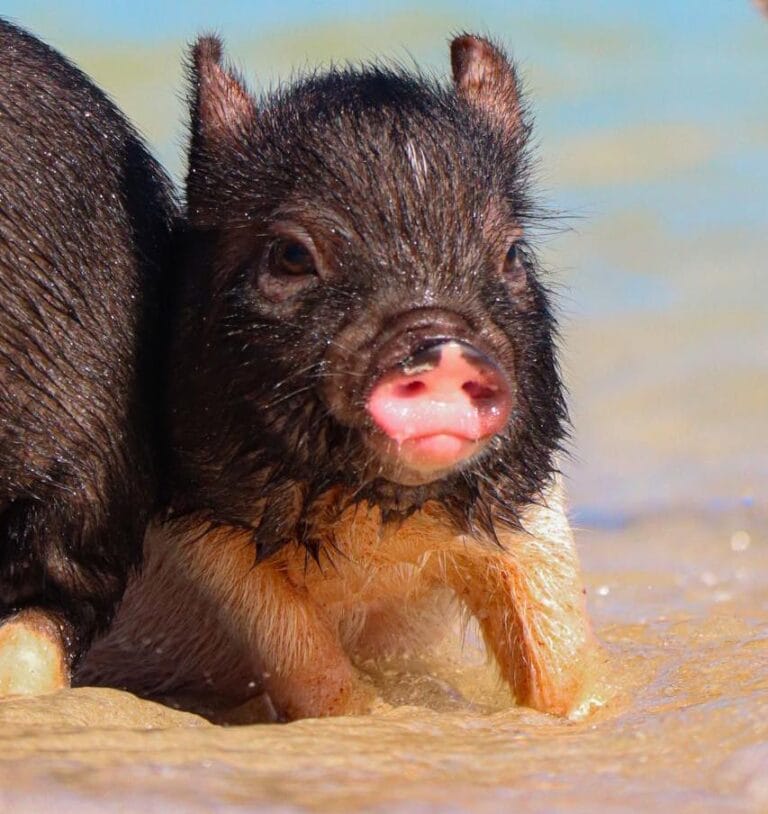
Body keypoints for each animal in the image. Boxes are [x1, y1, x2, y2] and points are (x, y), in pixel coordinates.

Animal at [81, 34, 599, 720]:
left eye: (512, 253)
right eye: (291, 255)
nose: (441, 344)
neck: (379, 525)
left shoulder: (525, 489)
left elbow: (557, 637)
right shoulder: (194, 517)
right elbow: (299, 650)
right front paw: (380, 717)